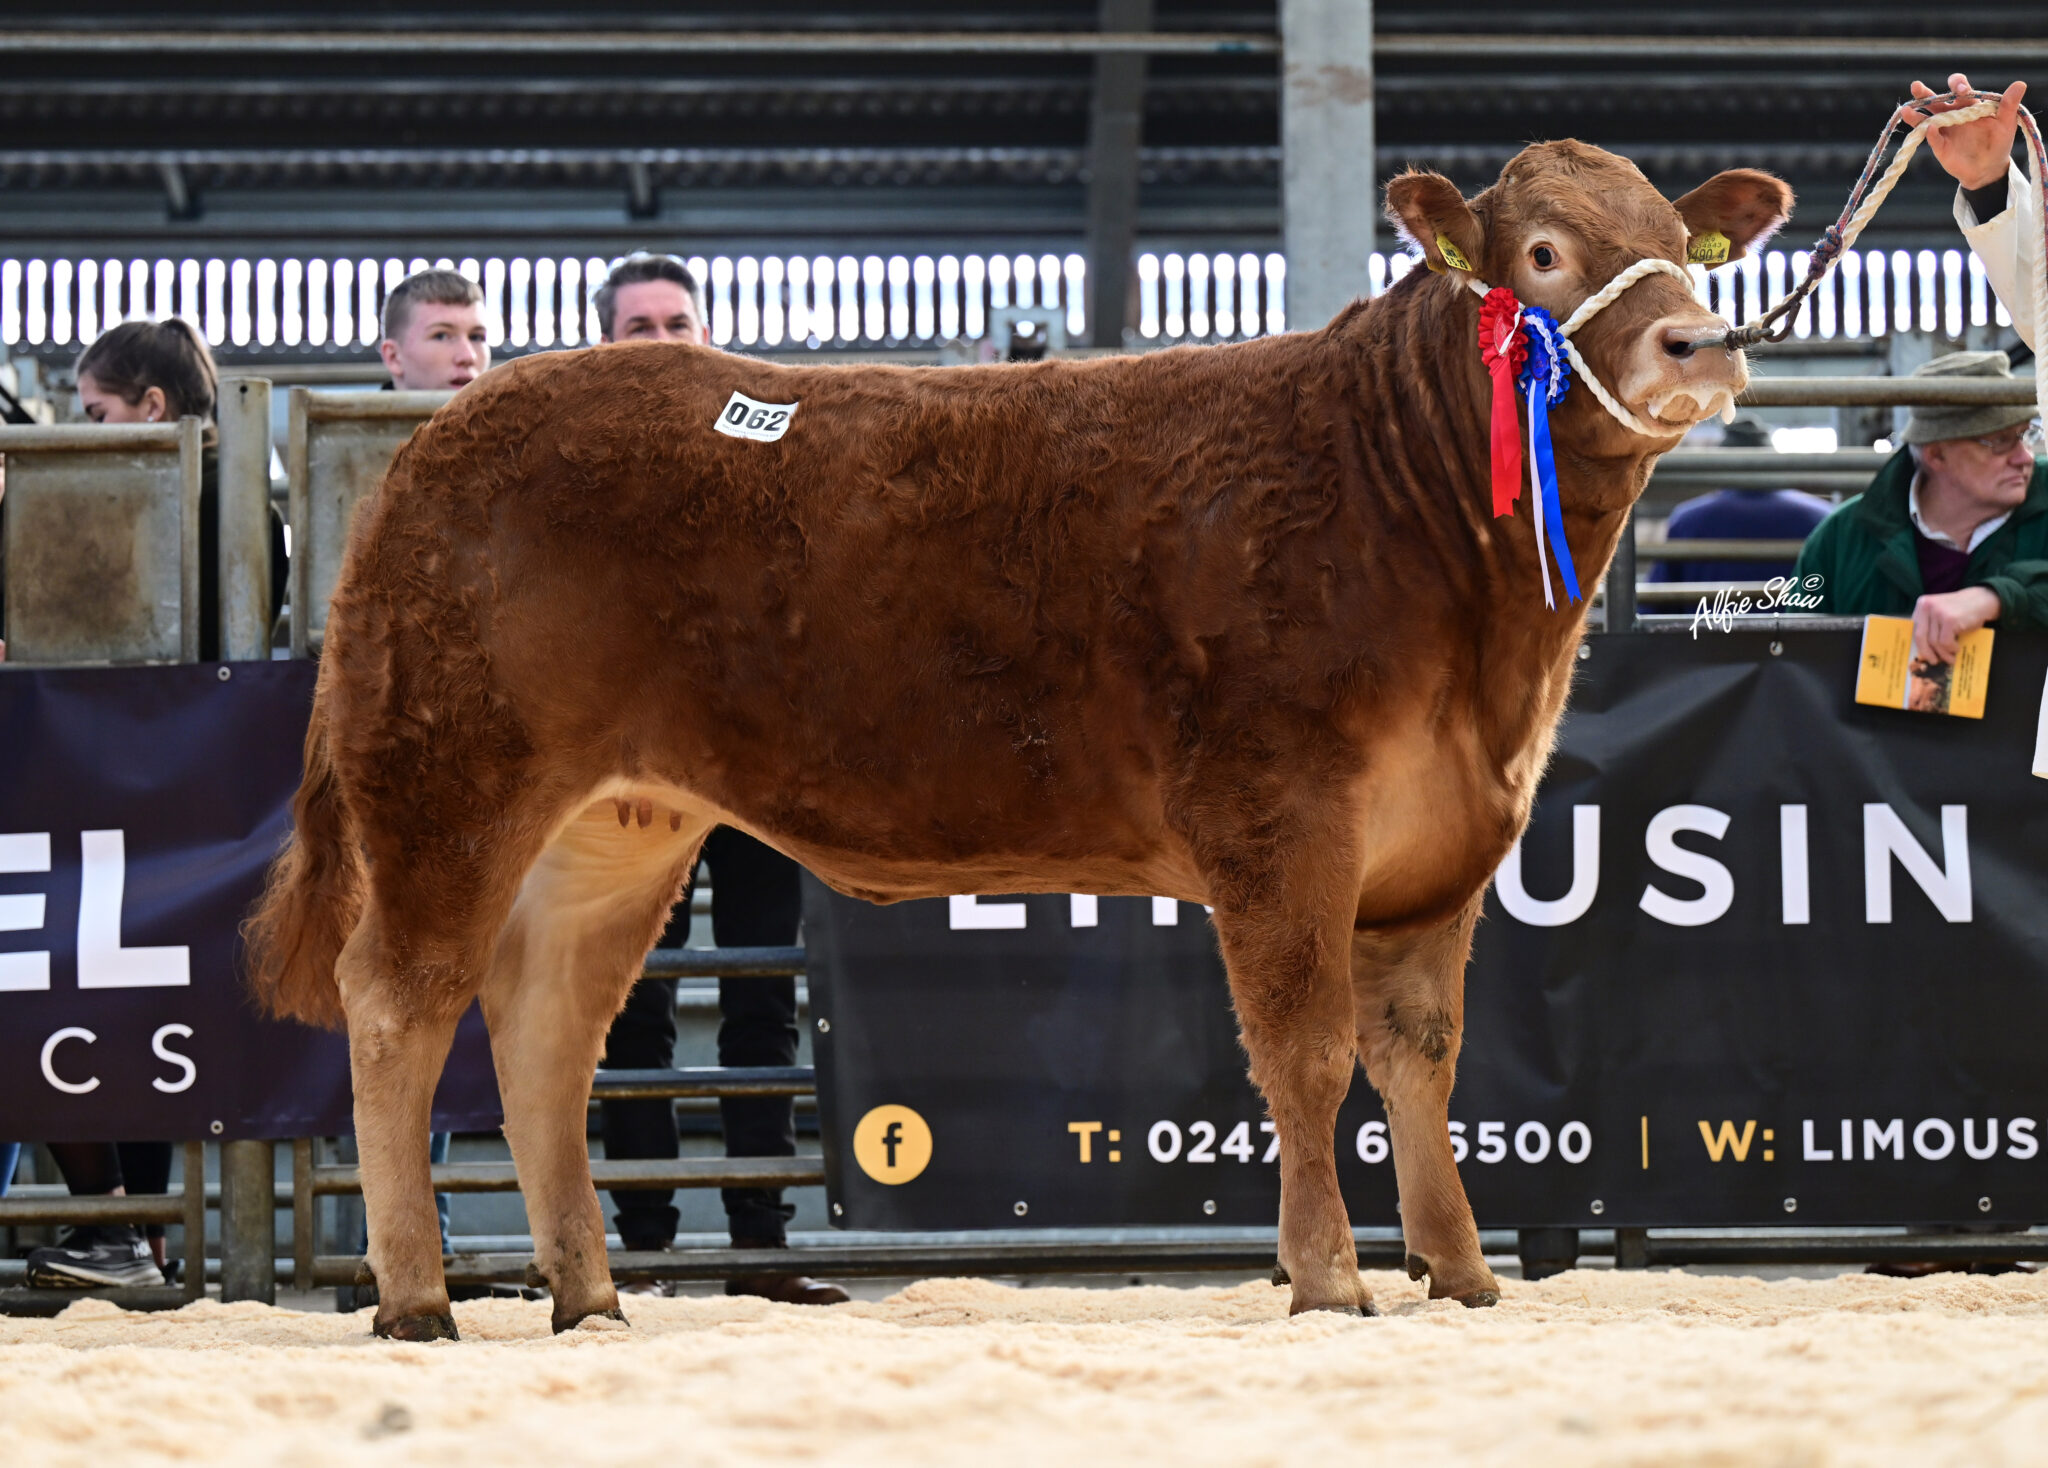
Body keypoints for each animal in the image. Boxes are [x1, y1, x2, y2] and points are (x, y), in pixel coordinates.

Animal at [247, 140, 1790, 1340]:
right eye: (1544, 251)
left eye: (1681, 246)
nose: (1701, 344)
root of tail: (436, 443)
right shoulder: (1278, 810)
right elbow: (1304, 1051)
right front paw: (1328, 1278)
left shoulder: (1443, 838)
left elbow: (1421, 1058)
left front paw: (1461, 1274)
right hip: (449, 778)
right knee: (400, 1002)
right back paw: (416, 1299)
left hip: (614, 826)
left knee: (547, 1028)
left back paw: (588, 1294)